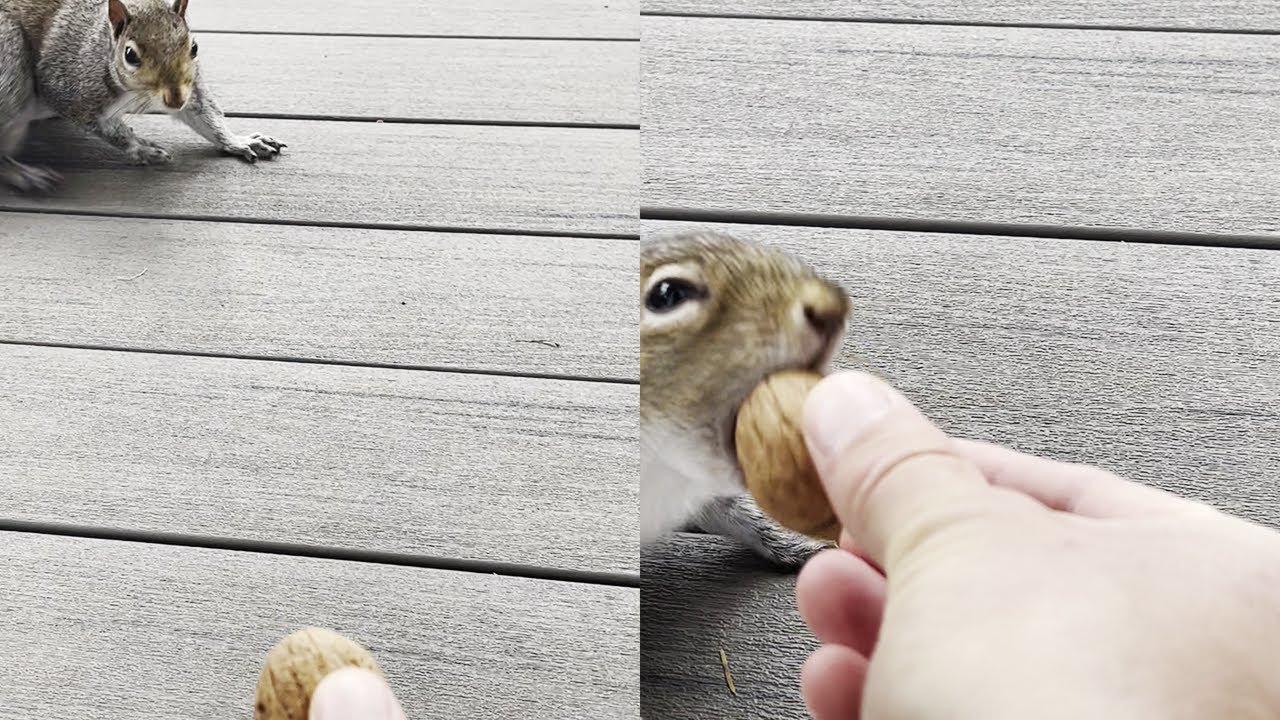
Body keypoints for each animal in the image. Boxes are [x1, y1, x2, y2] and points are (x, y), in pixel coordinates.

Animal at [0, 0, 285, 193]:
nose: (175, 101)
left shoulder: (191, 88)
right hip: (11, 64)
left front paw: (238, 141)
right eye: (130, 55)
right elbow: (105, 126)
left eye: (194, 47)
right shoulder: (66, 83)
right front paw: (142, 147)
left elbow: (205, 113)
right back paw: (23, 174)